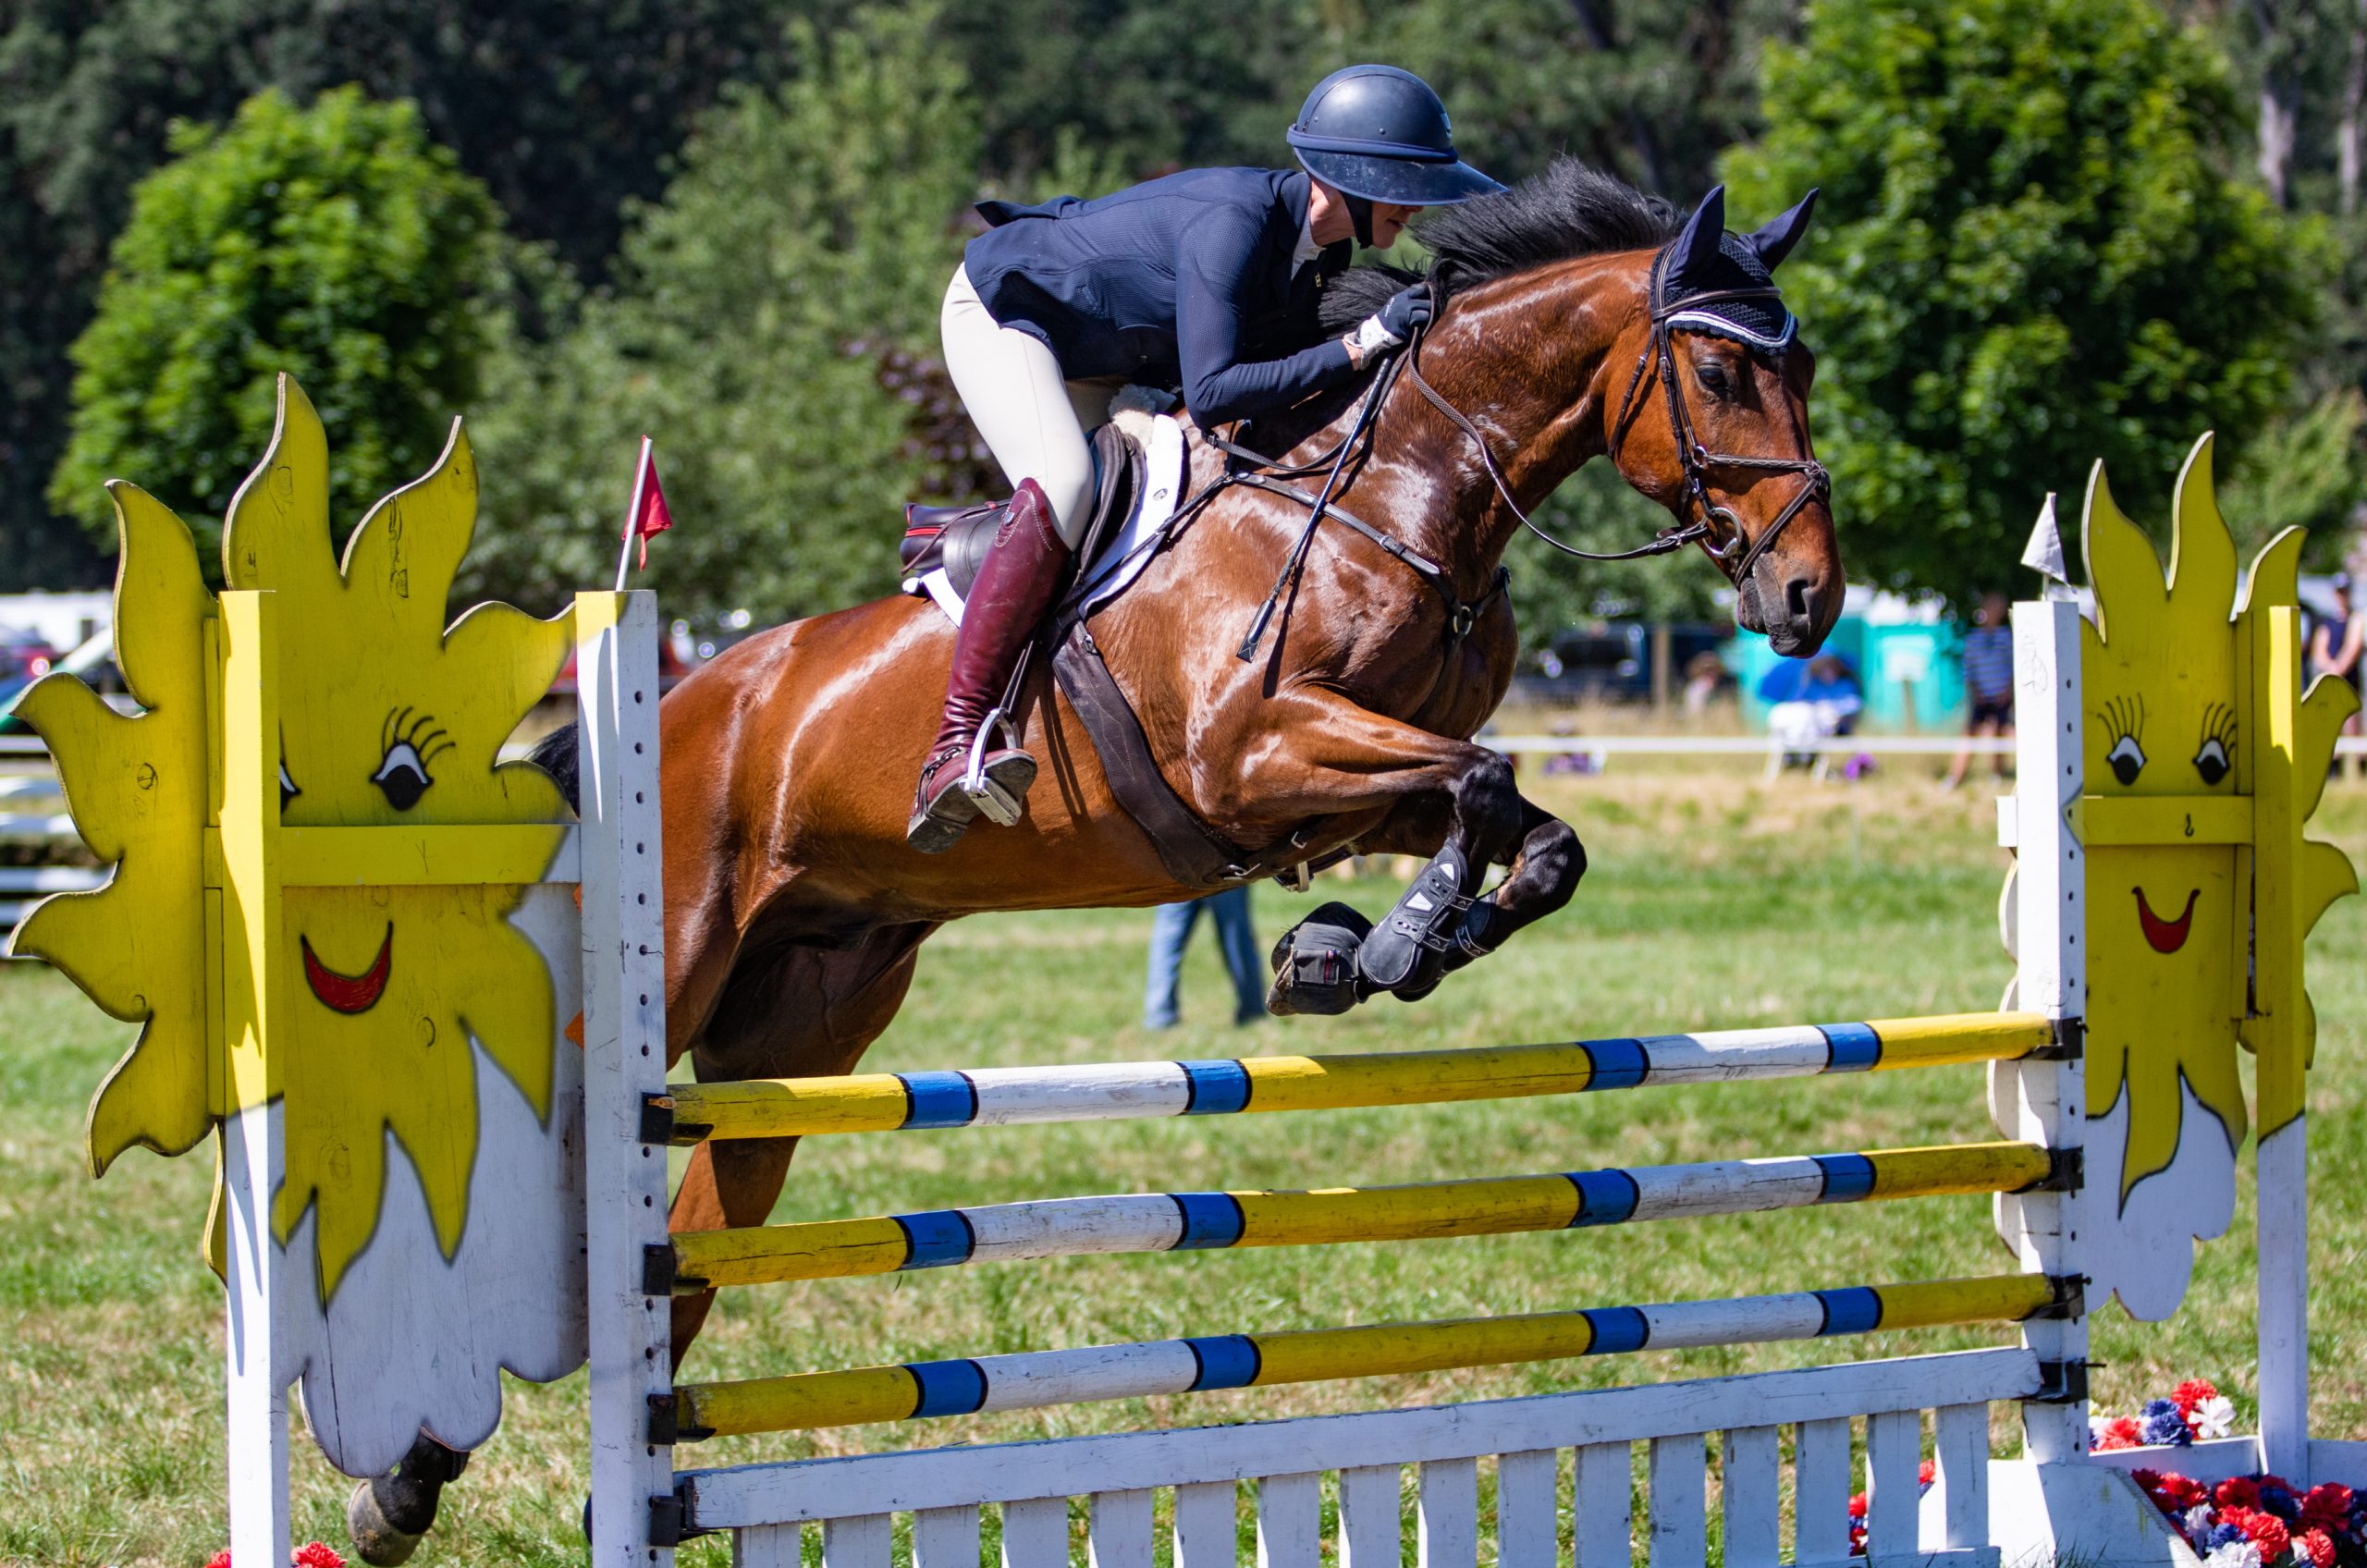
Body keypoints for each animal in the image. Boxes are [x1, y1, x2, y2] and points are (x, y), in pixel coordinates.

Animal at [352, 159, 1841, 1561]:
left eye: (1807, 369)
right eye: (1721, 372)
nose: (1808, 597)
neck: (1403, 487)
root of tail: (672, 707)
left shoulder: (1349, 788)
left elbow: (1531, 834)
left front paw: (1350, 952)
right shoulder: (1252, 754)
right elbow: (1480, 783)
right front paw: (1386, 942)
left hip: (793, 1034)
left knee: (697, 1248)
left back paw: (418, 1493)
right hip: (668, 970)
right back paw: (402, 1470)